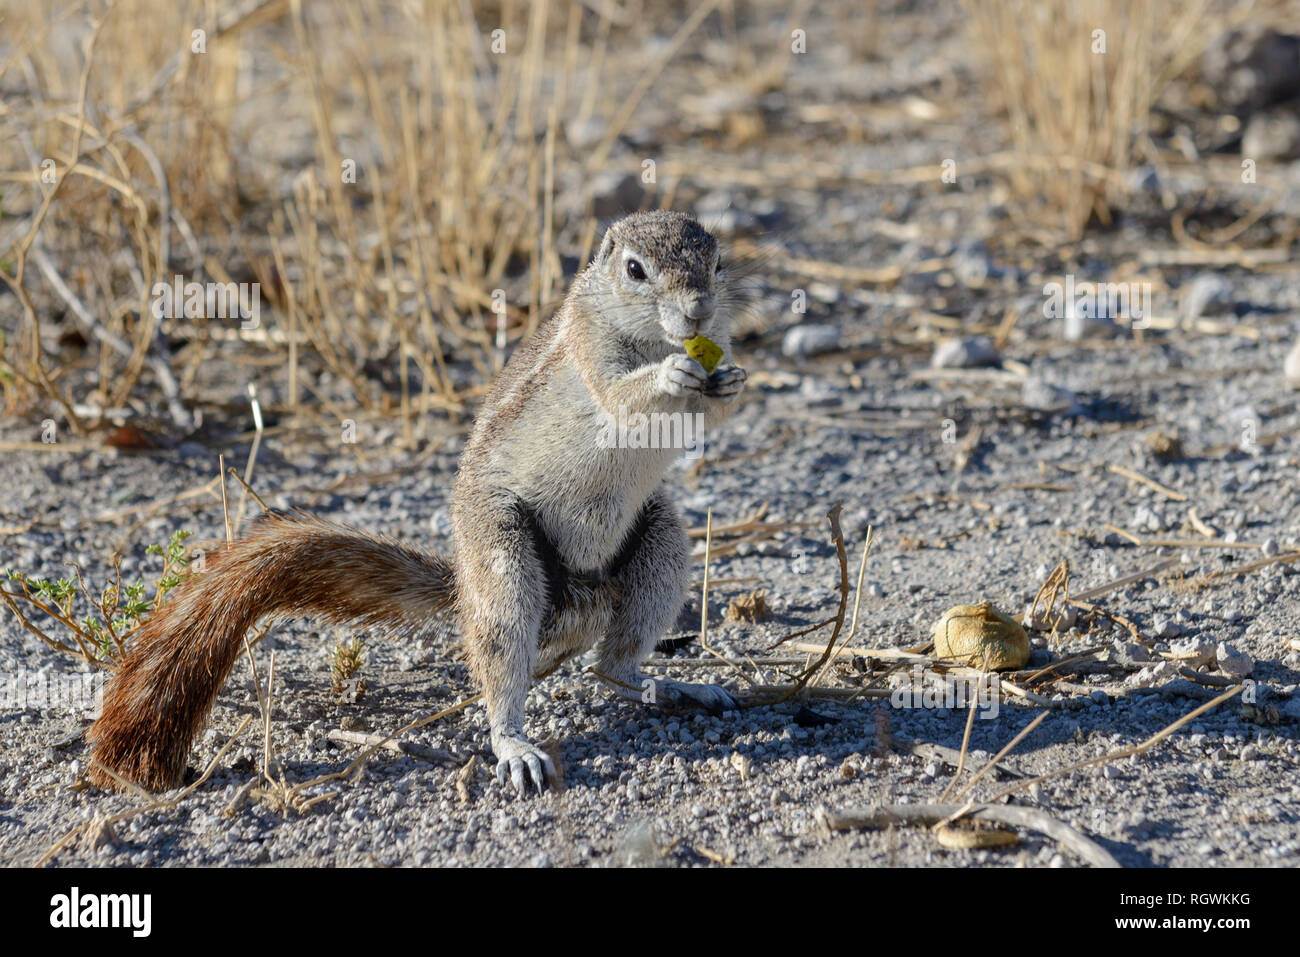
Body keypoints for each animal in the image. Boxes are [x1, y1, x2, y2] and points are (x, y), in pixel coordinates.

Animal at [87, 210, 748, 796]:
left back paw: (679, 689)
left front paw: (730, 381)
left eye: (717, 262)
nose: (699, 309)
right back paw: (515, 745)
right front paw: (670, 376)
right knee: (510, 663)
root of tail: (574, 604)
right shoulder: (590, 348)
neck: (650, 336)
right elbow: (619, 396)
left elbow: (703, 415)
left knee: (611, 667)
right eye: (635, 270)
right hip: (502, 554)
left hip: (661, 543)